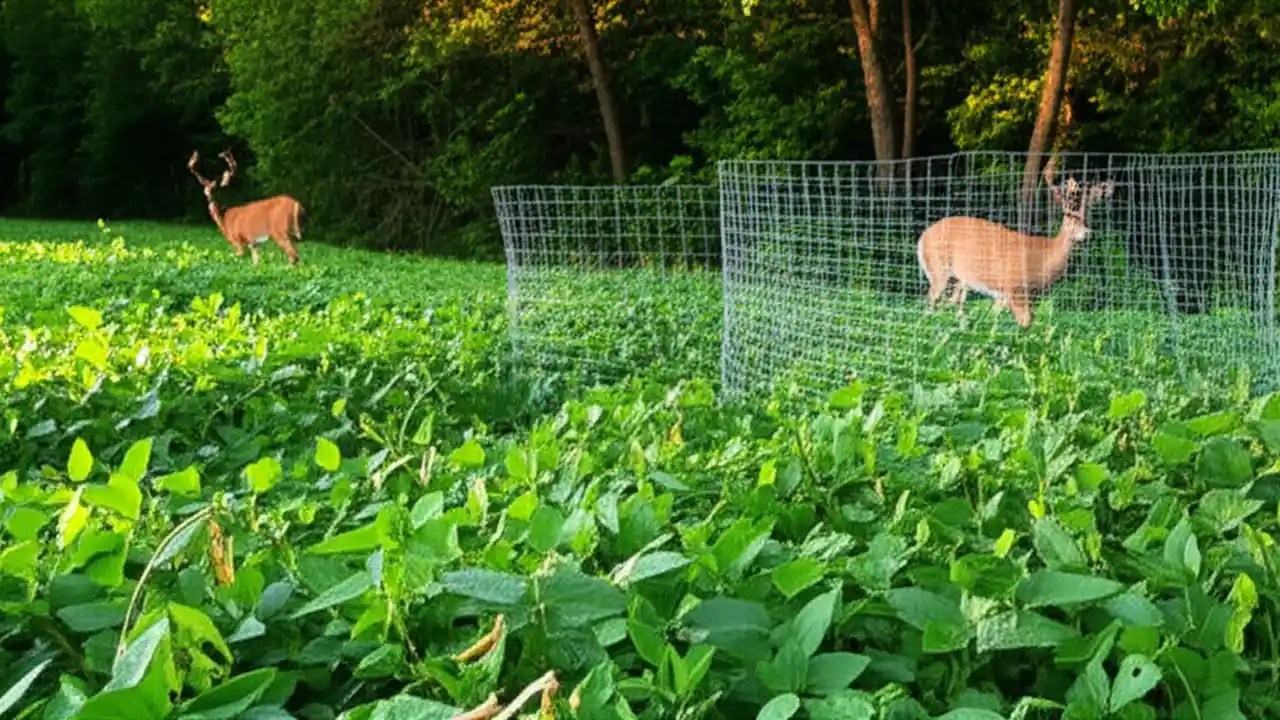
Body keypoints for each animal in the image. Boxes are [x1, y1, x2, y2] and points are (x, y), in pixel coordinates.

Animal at [915, 157, 1114, 328]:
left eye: (1087, 216)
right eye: (1069, 216)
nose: (1087, 234)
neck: (1044, 256)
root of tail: (922, 237)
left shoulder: (1015, 295)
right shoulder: (1014, 288)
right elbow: (1024, 324)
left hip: (958, 281)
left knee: (951, 307)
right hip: (938, 269)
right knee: (930, 304)